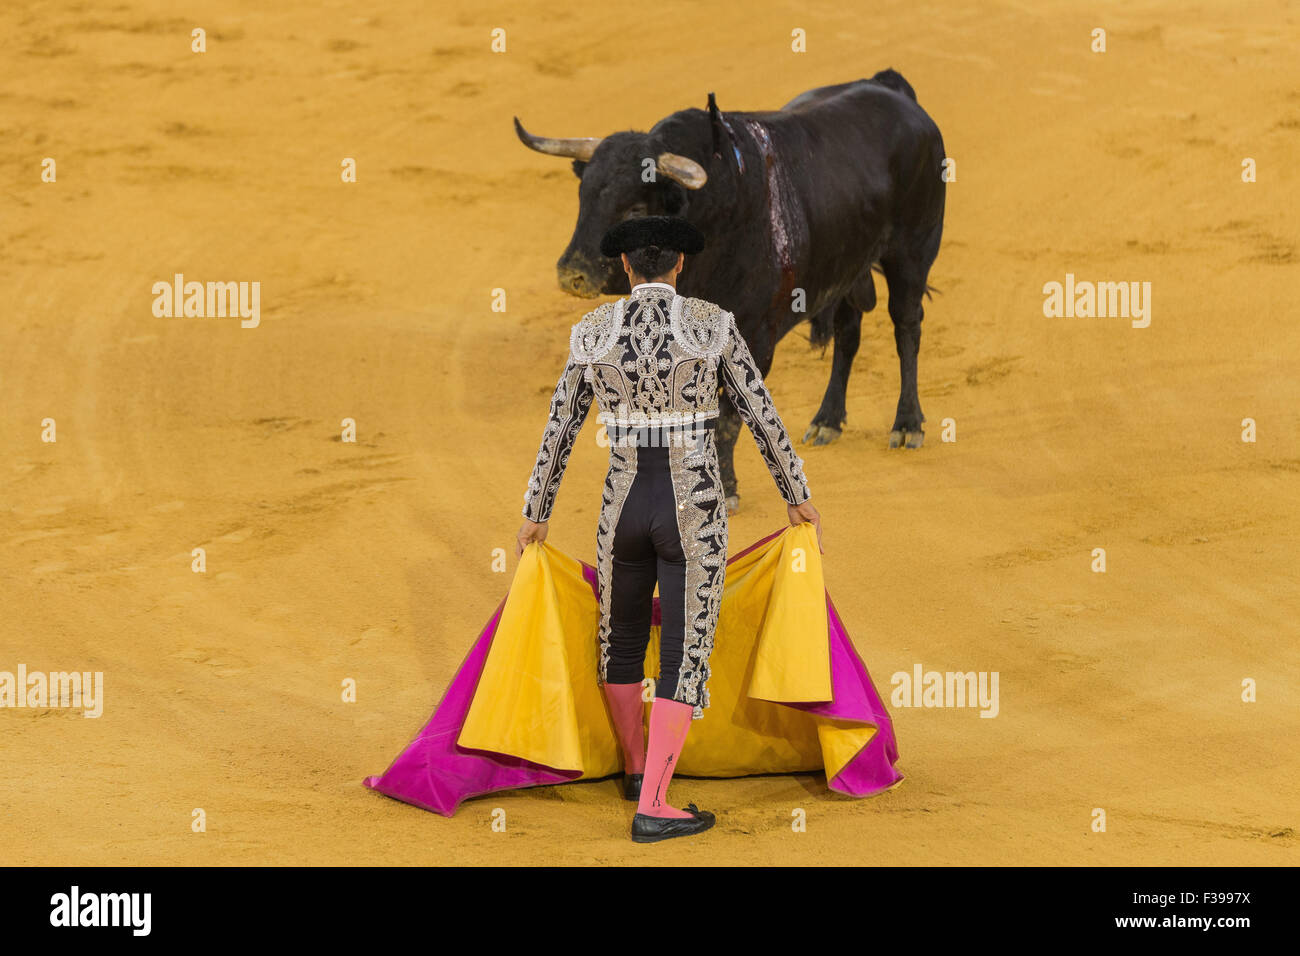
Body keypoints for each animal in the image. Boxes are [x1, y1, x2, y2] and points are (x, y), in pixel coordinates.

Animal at [512, 70, 951, 512]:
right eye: (584, 196)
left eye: (635, 209)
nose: (572, 274)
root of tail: (893, 90)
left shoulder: (754, 338)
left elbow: (727, 416)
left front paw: (725, 485)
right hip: (849, 266)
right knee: (848, 333)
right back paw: (827, 420)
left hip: (912, 254)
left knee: (906, 328)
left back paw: (908, 424)